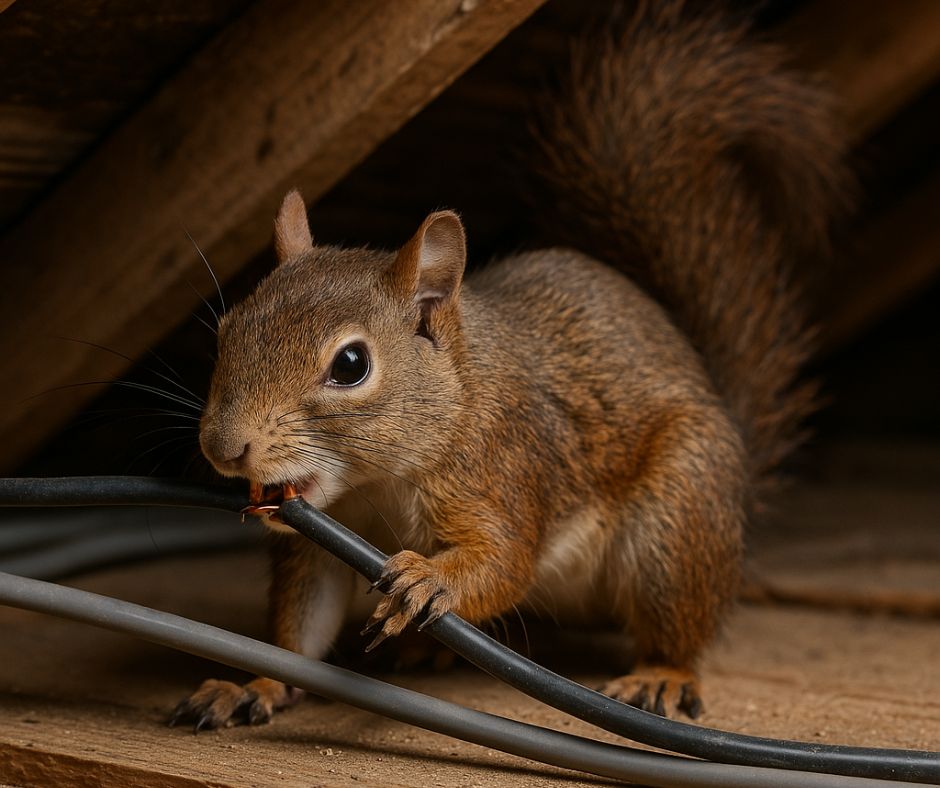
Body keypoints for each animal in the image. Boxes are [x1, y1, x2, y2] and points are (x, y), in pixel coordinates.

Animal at [171, 0, 846, 728]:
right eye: (226, 332)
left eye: (351, 364)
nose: (222, 448)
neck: (378, 483)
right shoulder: (318, 538)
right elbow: (301, 626)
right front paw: (254, 683)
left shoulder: (506, 470)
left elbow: (506, 559)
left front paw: (432, 577)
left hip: (679, 515)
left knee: (679, 628)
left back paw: (660, 675)